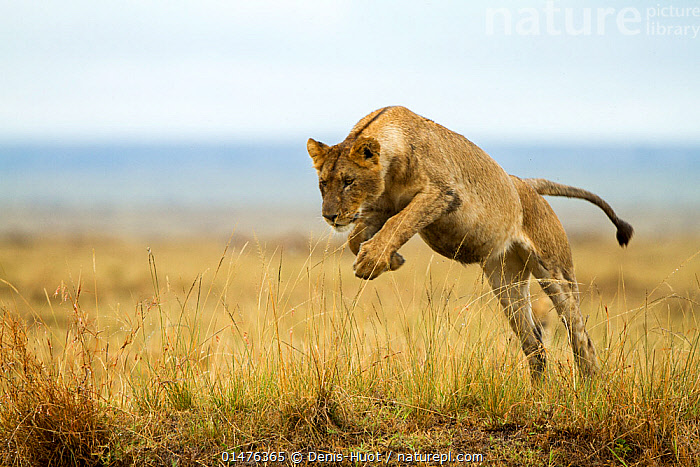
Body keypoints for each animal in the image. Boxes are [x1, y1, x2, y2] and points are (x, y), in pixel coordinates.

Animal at [307, 106, 633, 380]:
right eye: (323, 183)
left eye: (348, 181)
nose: (329, 216)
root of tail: (524, 183)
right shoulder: (378, 208)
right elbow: (356, 237)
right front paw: (390, 259)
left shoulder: (441, 194)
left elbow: (399, 223)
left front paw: (372, 262)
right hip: (506, 281)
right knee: (535, 346)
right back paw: (540, 396)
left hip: (555, 272)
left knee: (580, 337)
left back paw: (590, 388)